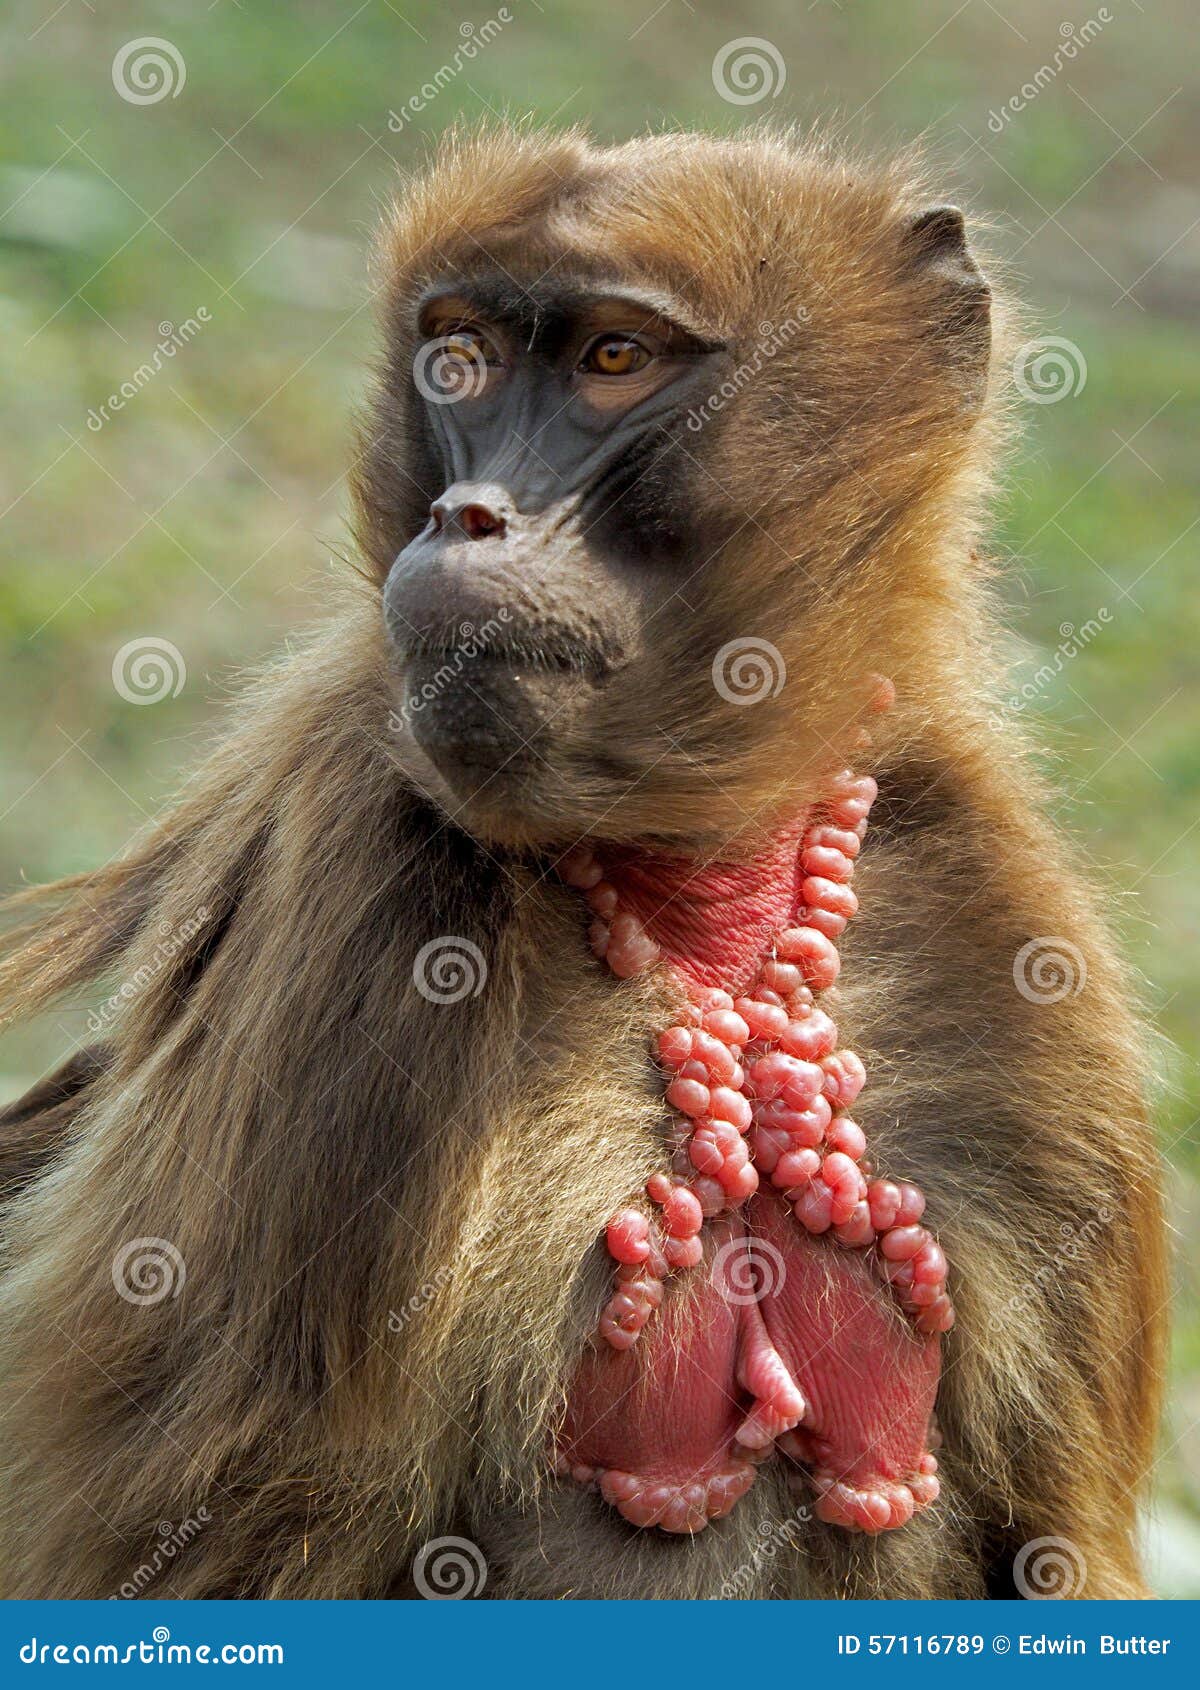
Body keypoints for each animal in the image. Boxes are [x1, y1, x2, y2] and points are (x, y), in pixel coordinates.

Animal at [0, 125, 1166, 1600]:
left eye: (614, 359)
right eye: (461, 361)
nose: (468, 516)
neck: (708, 912)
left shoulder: (1018, 954)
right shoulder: (354, 930)